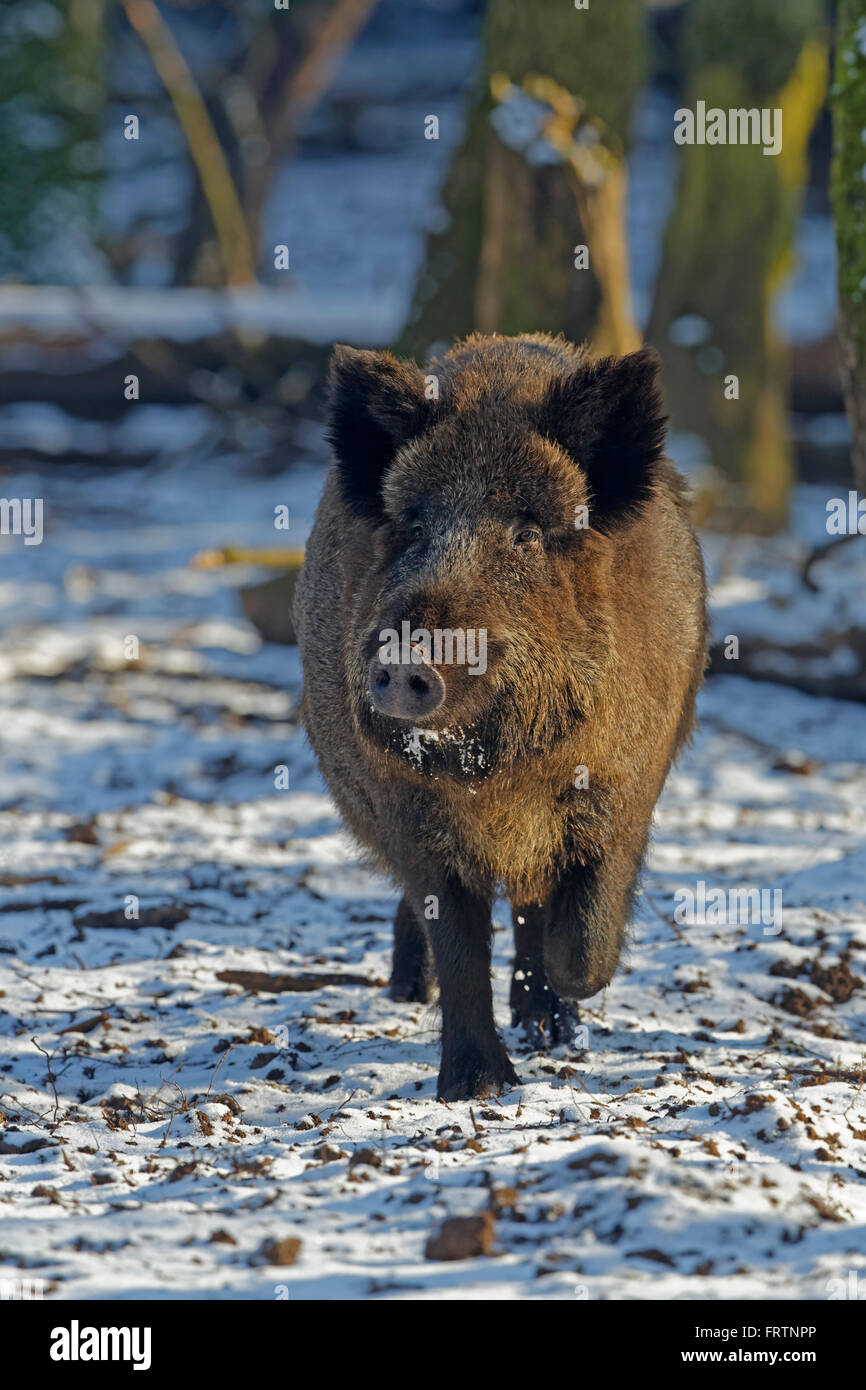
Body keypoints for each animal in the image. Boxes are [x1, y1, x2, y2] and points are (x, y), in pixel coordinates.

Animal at [293, 333, 707, 1101]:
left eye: (526, 534)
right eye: (415, 525)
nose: (406, 659)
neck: (497, 774)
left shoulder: (626, 785)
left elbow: (582, 939)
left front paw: (555, 1022)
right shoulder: (407, 809)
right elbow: (457, 942)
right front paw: (475, 1087)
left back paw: (545, 1023)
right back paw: (409, 990)